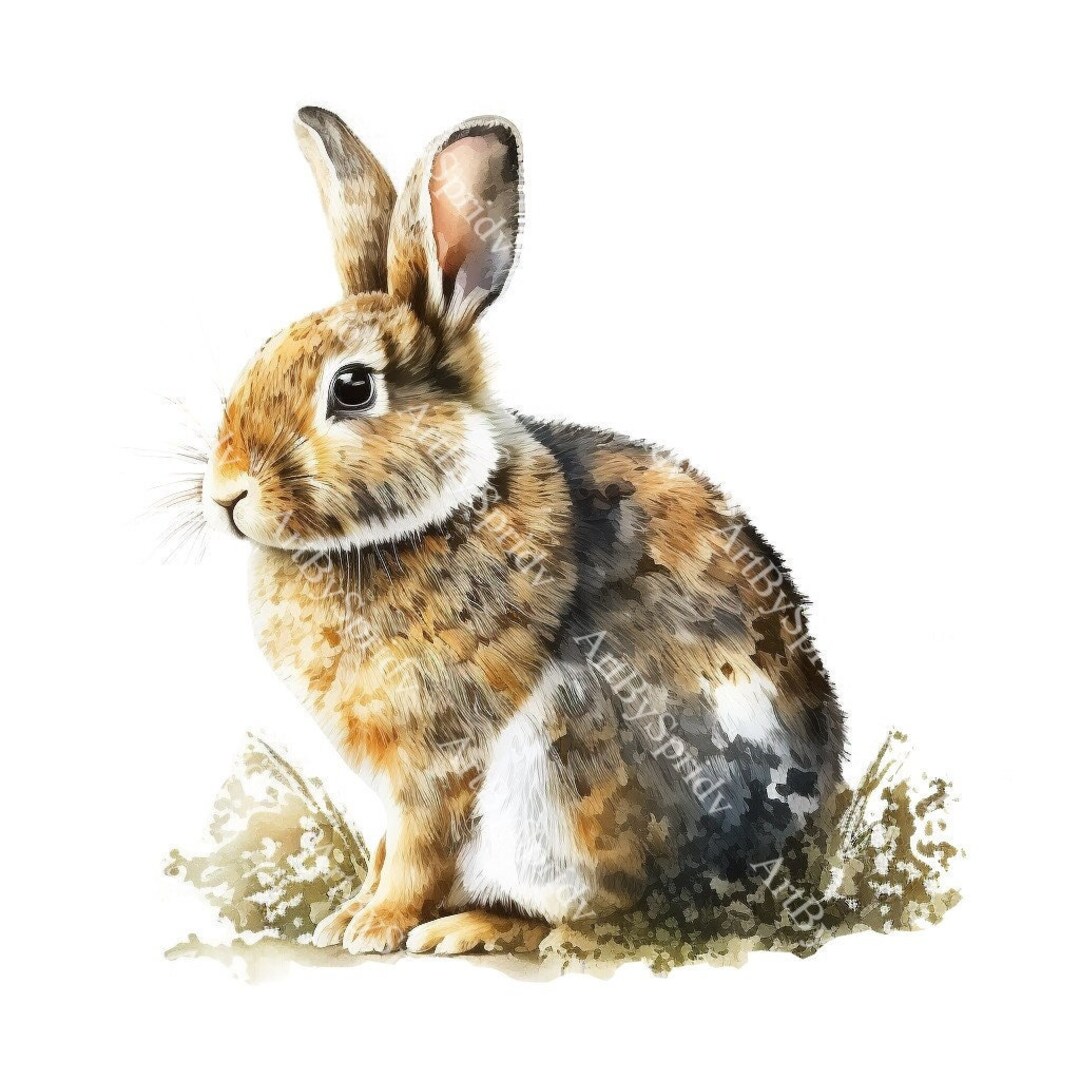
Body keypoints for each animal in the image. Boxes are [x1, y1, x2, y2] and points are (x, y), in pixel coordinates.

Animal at [200, 106, 845, 955]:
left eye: (353, 387)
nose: (225, 493)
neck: (436, 509)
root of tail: (803, 859)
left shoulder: (437, 762)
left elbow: (416, 852)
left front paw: (375, 926)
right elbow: (384, 848)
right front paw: (344, 913)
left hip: (571, 777)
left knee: (595, 920)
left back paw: (467, 929)